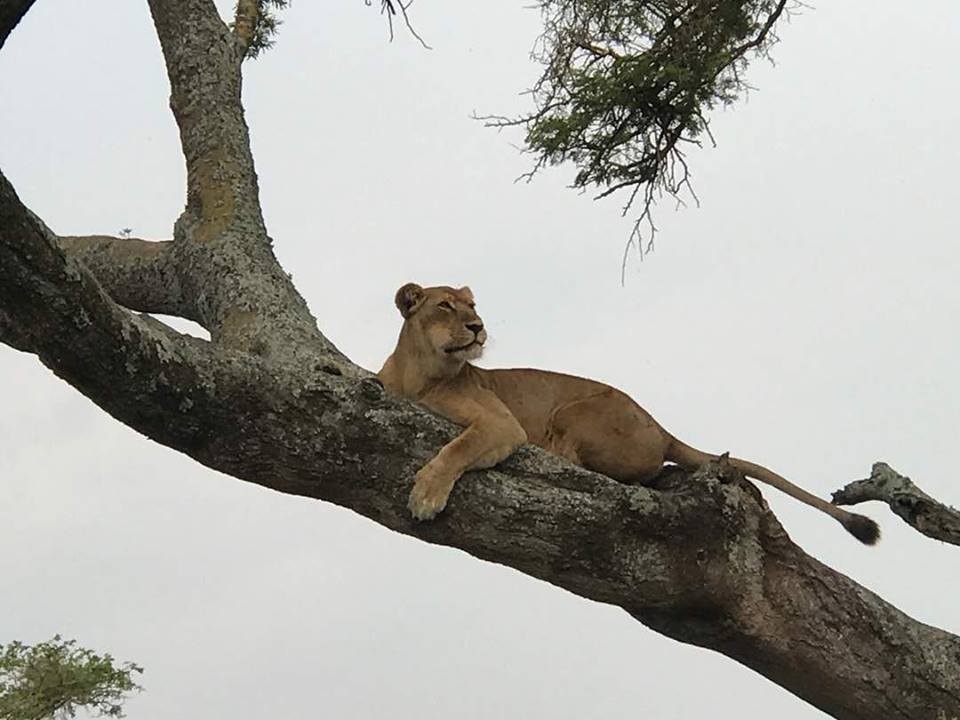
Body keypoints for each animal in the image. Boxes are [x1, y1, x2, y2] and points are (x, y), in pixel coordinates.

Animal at [378, 282, 880, 544]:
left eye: (473, 305)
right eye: (445, 305)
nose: (478, 327)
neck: (419, 371)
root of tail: (660, 427)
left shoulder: (502, 423)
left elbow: (457, 449)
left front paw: (426, 496)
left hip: (578, 409)